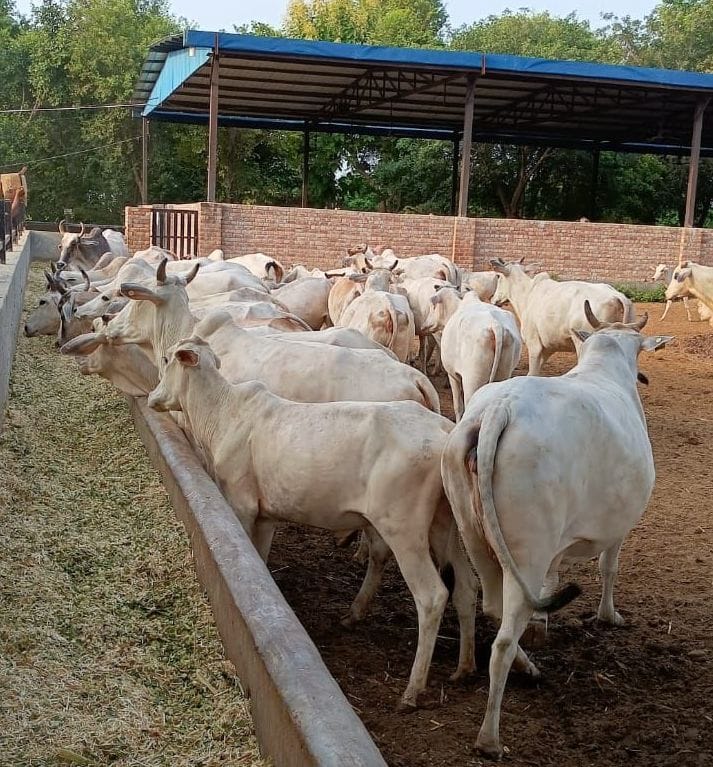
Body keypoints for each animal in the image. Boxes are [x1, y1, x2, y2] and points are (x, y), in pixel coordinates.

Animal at [148, 336, 477, 709]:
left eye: (166, 359)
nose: (153, 397)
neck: (223, 413)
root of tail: (443, 429)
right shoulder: (265, 512)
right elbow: (259, 558)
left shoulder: (242, 503)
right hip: (444, 523)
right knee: (466, 586)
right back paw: (464, 667)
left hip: (404, 530)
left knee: (432, 595)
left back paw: (412, 689)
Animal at [423, 288, 522, 420]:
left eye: (432, 307)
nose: (424, 325)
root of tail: (496, 326)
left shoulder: (453, 375)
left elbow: (458, 406)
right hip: (502, 374)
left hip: (472, 380)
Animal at [440, 300, 673, 758]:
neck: (602, 366)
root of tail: (500, 409)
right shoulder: (619, 526)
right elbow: (608, 569)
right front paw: (609, 615)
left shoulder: (556, 548)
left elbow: (552, 579)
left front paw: (544, 625)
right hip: (528, 547)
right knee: (502, 641)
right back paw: (490, 737)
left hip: (474, 532)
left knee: (494, 605)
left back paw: (528, 665)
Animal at [491, 258, 635, 375]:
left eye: (499, 277)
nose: (493, 300)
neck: (527, 293)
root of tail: (617, 296)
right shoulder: (549, 347)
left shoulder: (534, 344)